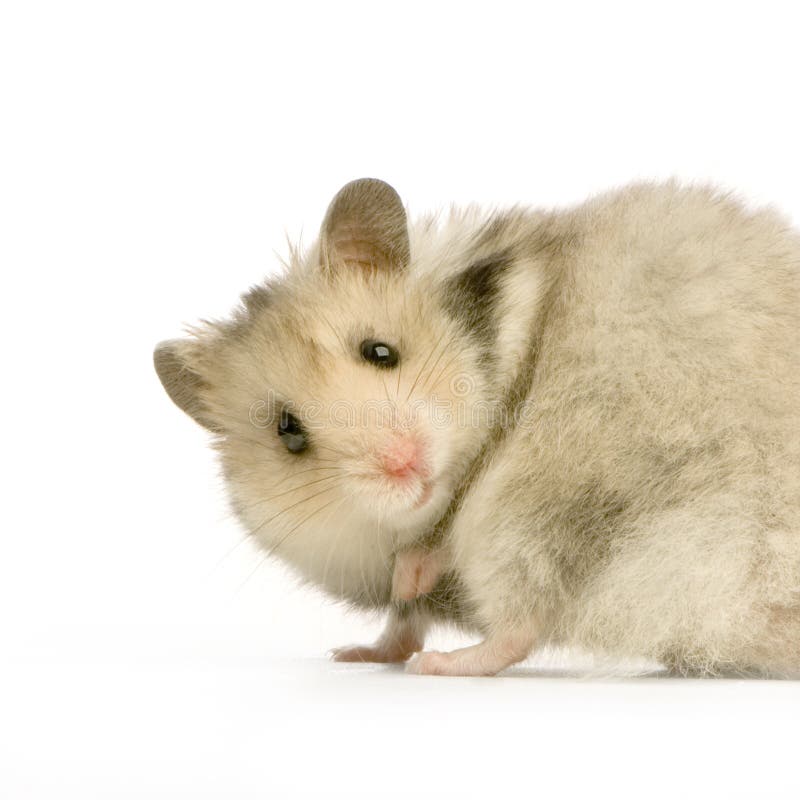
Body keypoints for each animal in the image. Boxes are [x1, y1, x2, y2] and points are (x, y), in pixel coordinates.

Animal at [155, 178, 800, 676]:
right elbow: (403, 616)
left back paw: (441, 664)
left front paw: (411, 575)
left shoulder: (505, 417)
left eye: (380, 351)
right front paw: (360, 646)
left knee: (518, 626)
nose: (404, 463)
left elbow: (452, 513)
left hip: (533, 509)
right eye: (288, 432)